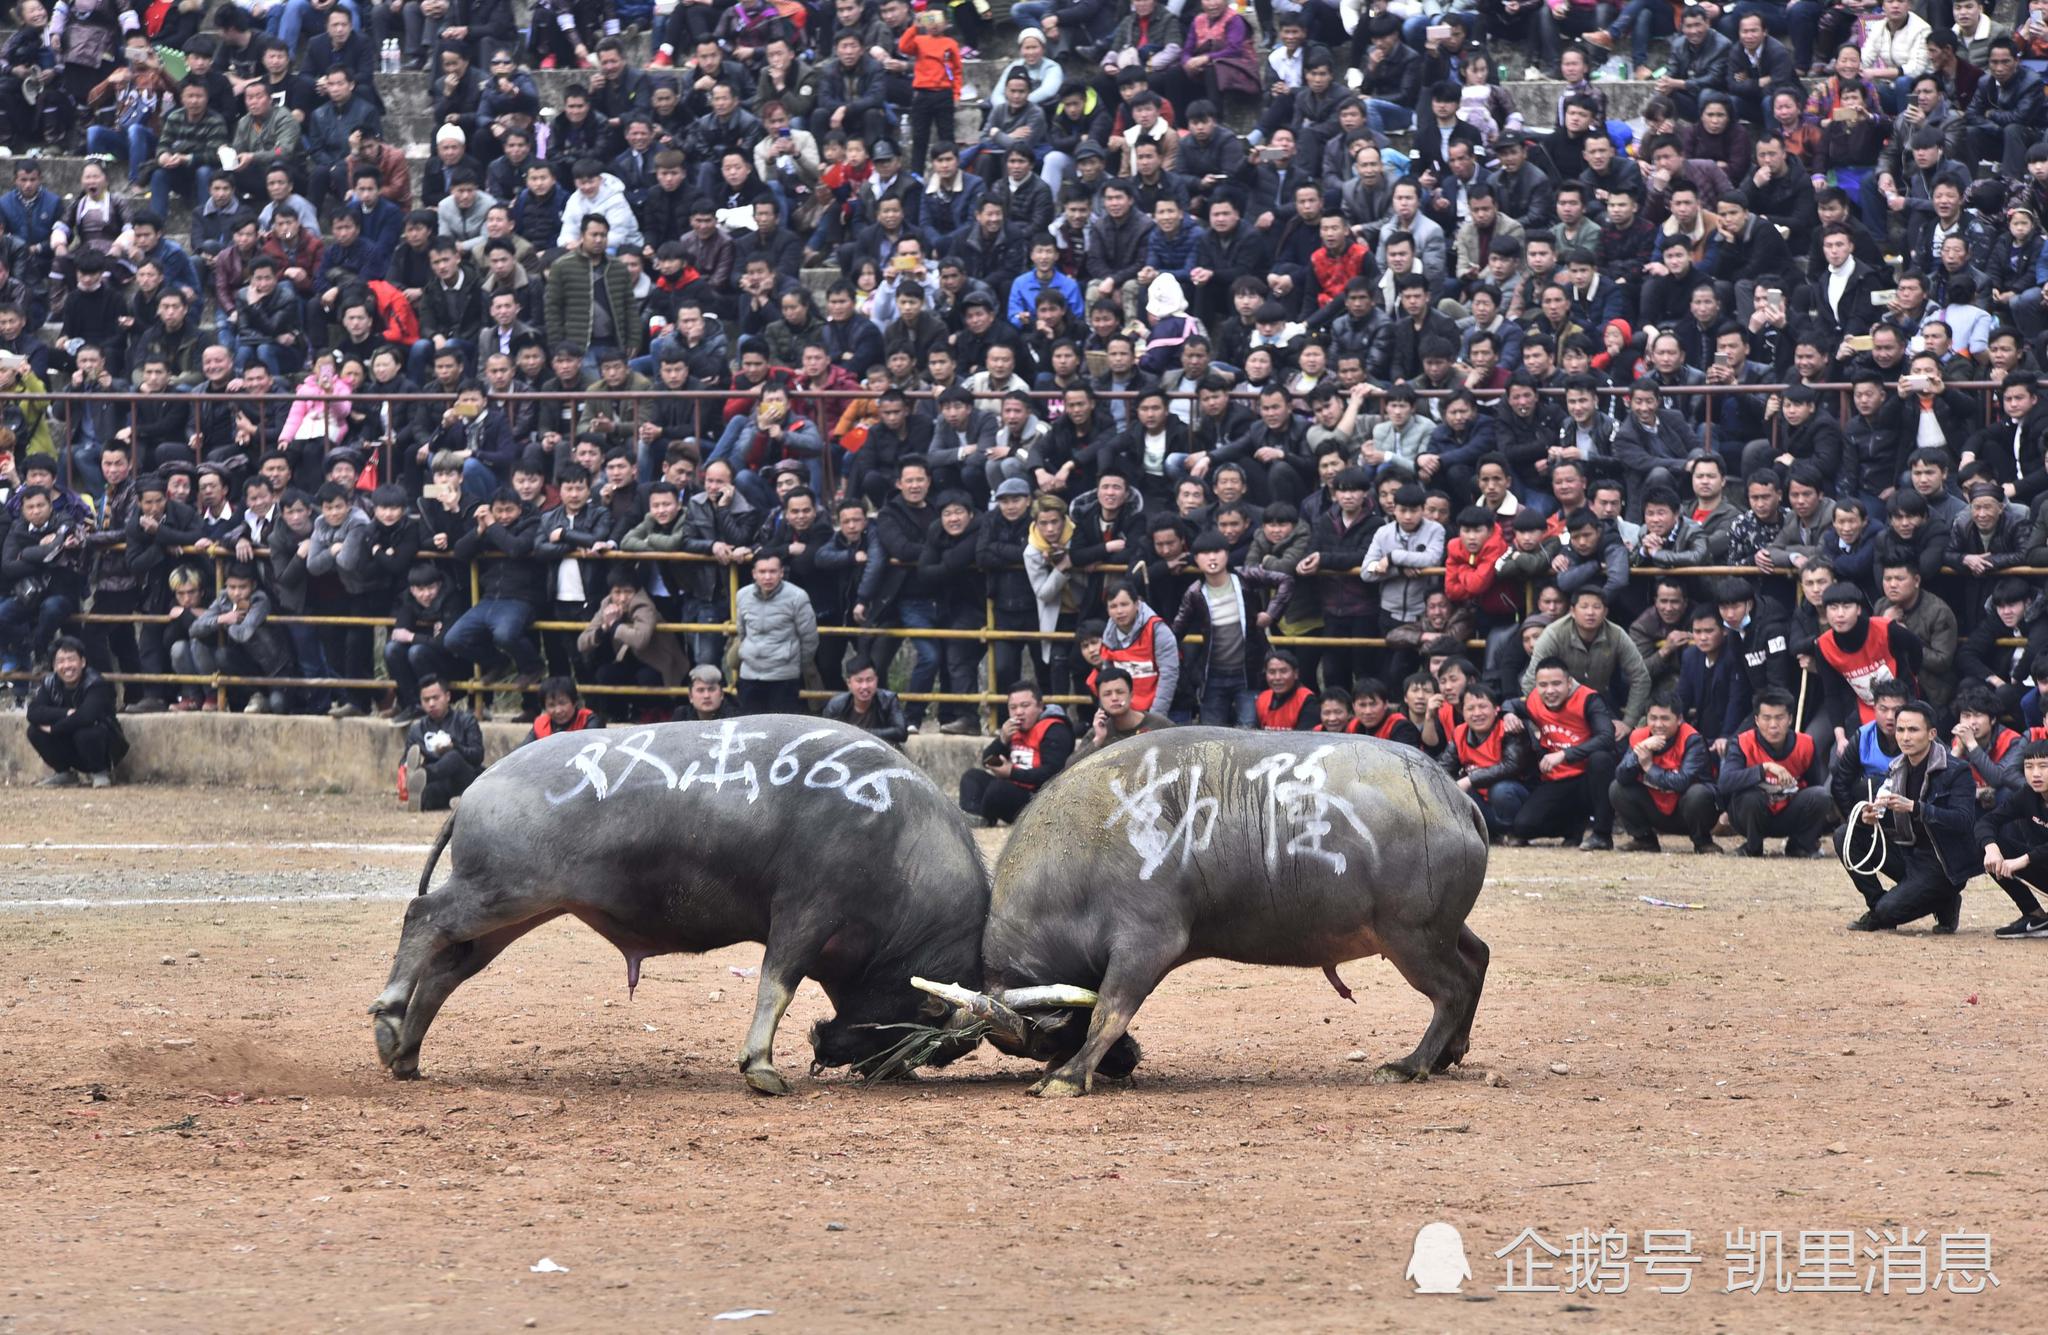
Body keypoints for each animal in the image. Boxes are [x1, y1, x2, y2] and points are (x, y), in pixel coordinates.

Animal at [378, 720, 999, 1097]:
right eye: (921, 1018)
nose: (844, 1056)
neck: (901, 839)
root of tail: (477, 788)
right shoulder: (805, 912)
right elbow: (777, 984)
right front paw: (761, 1069)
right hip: (502, 892)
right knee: (422, 917)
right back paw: (388, 1021)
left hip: (514, 909)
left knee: (446, 966)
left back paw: (406, 1053)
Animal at [929, 728, 1490, 1097]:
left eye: (1042, 1043)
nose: (1129, 1062)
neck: (1078, 855)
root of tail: (1452, 798)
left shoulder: (1147, 942)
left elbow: (1110, 1009)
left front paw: (1068, 1076)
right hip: (1441, 929)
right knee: (1478, 957)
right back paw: (1451, 1051)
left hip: (1411, 936)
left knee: (1452, 988)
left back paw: (1413, 1063)